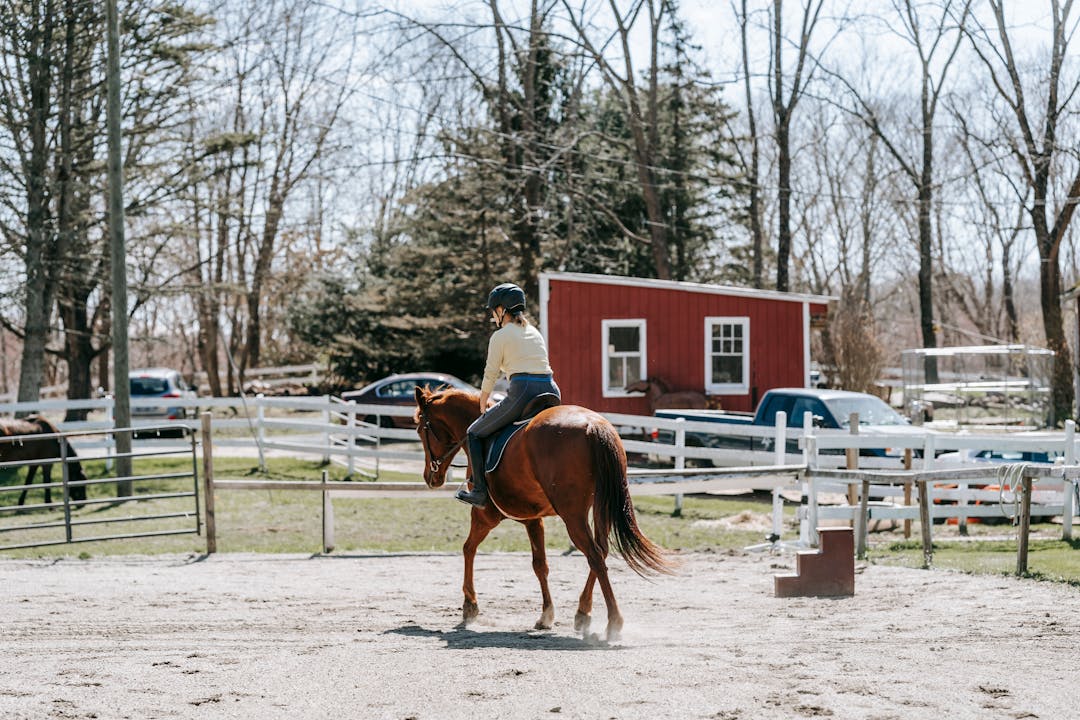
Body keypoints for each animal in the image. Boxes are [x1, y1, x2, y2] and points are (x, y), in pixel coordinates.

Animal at [414, 386, 672, 641]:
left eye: (419, 429)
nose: (430, 477)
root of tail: (593, 425)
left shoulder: (485, 516)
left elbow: (468, 549)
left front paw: (470, 605)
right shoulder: (533, 519)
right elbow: (540, 565)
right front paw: (546, 615)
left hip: (572, 515)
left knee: (595, 555)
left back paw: (613, 622)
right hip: (600, 506)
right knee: (601, 550)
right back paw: (582, 613)